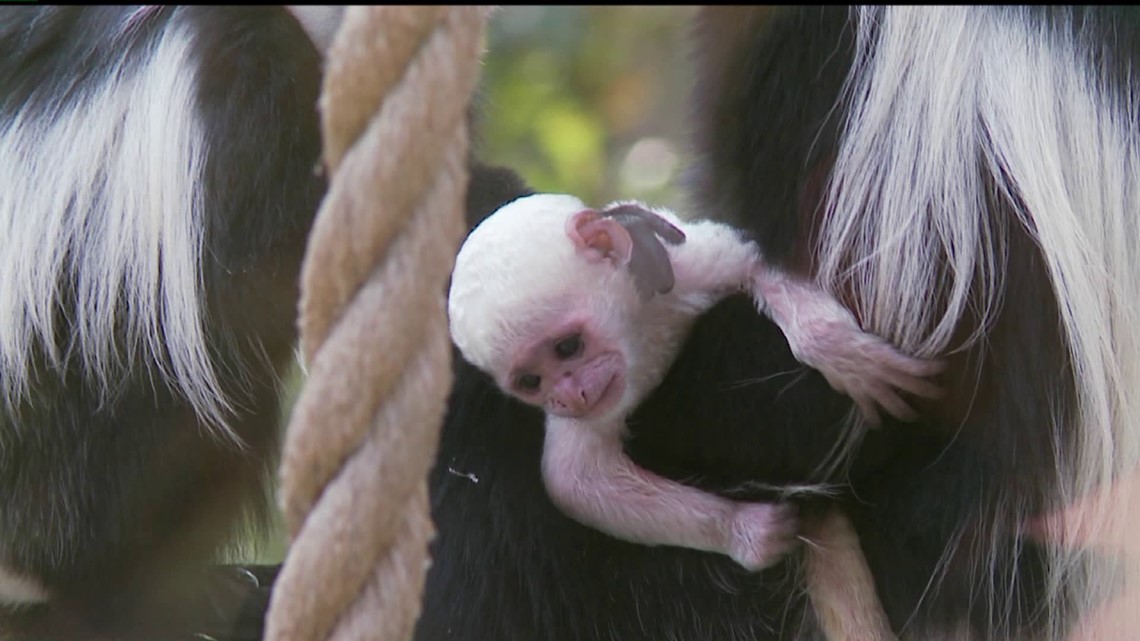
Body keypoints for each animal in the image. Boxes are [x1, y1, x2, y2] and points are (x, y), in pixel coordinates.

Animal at [447, 192, 943, 572]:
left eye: (568, 346)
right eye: (531, 380)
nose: (571, 395)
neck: (642, 334)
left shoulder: (684, 268)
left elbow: (750, 261)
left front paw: (841, 352)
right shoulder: (597, 409)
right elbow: (578, 480)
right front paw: (748, 532)